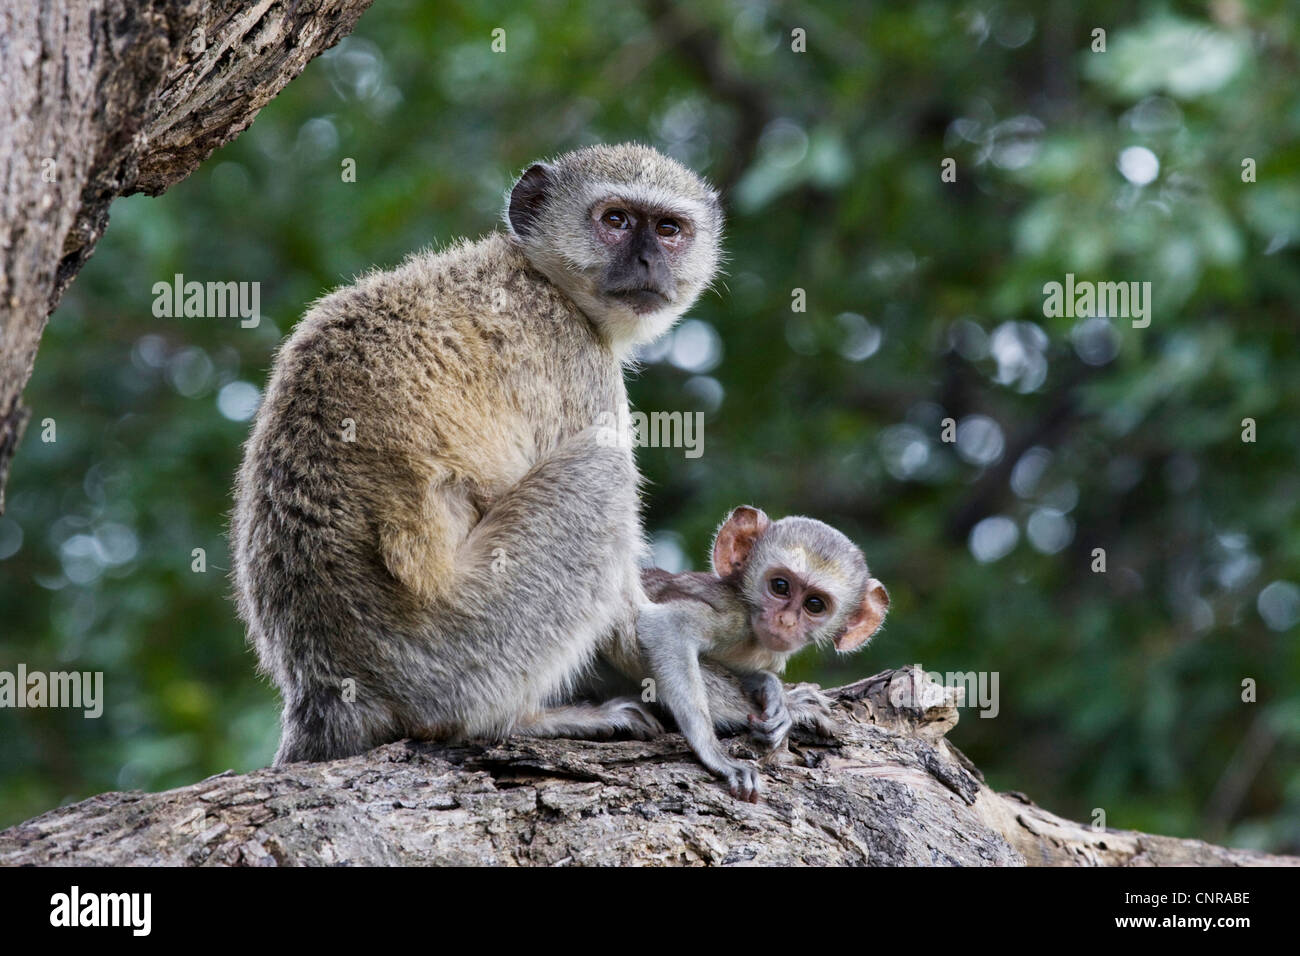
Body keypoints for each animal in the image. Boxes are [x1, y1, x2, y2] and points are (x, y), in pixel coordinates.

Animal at [230, 143, 754, 764]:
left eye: (669, 229)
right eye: (617, 220)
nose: (650, 261)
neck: (543, 278)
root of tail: (323, 684)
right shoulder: (575, 359)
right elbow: (633, 624)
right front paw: (747, 707)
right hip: (461, 652)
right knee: (601, 469)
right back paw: (519, 721)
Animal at [637, 506, 890, 800]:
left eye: (814, 604)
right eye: (780, 586)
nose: (786, 621)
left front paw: (774, 693)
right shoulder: (732, 617)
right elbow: (666, 627)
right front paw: (714, 754)